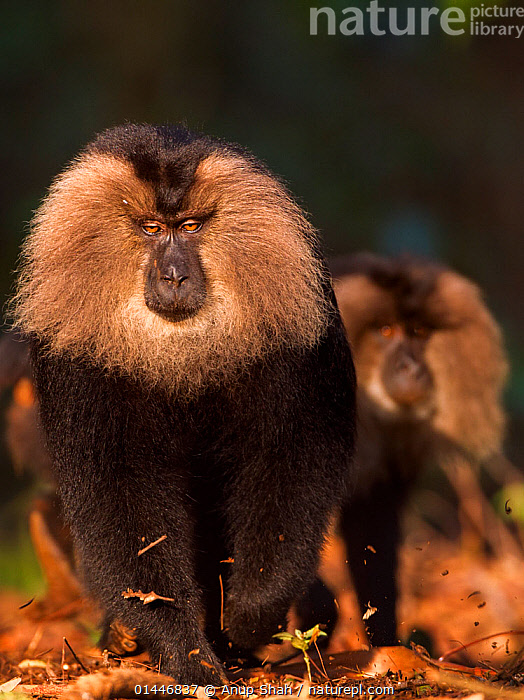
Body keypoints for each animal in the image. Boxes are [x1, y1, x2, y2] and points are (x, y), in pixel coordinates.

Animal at [10, 124, 356, 684]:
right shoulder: (78, 361)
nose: (173, 276)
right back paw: (126, 637)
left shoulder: (298, 332)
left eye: (190, 226)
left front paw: (249, 616)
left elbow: (294, 463)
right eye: (151, 229)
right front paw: (186, 652)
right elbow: (119, 494)